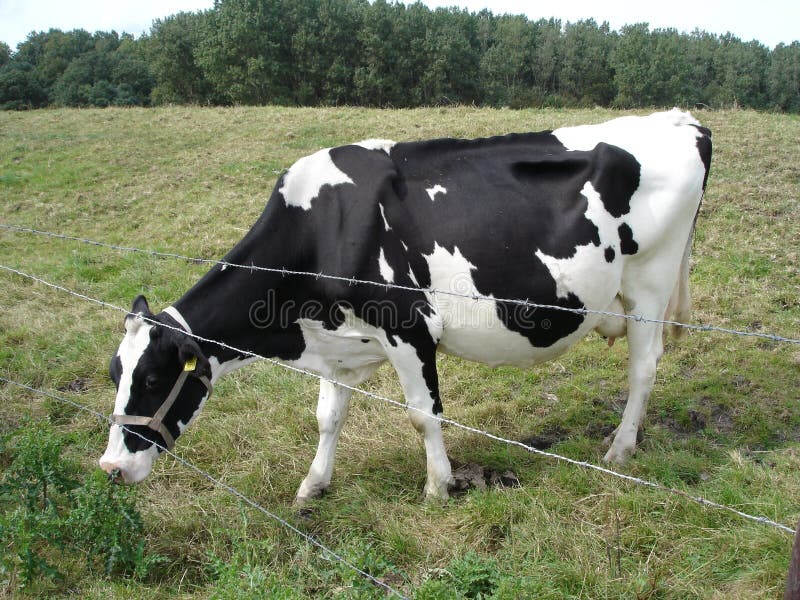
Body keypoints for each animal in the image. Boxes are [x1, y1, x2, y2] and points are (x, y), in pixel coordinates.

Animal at [100, 109, 712, 504]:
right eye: (115, 374)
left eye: (152, 379)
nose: (111, 466)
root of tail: (682, 120)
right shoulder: (338, 343)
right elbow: (327, 416)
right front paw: (313, 484)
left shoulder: (409, 330)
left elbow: (423, 414)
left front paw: (440, 486)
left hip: (650, 284)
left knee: (643, 367)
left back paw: (620, 449)